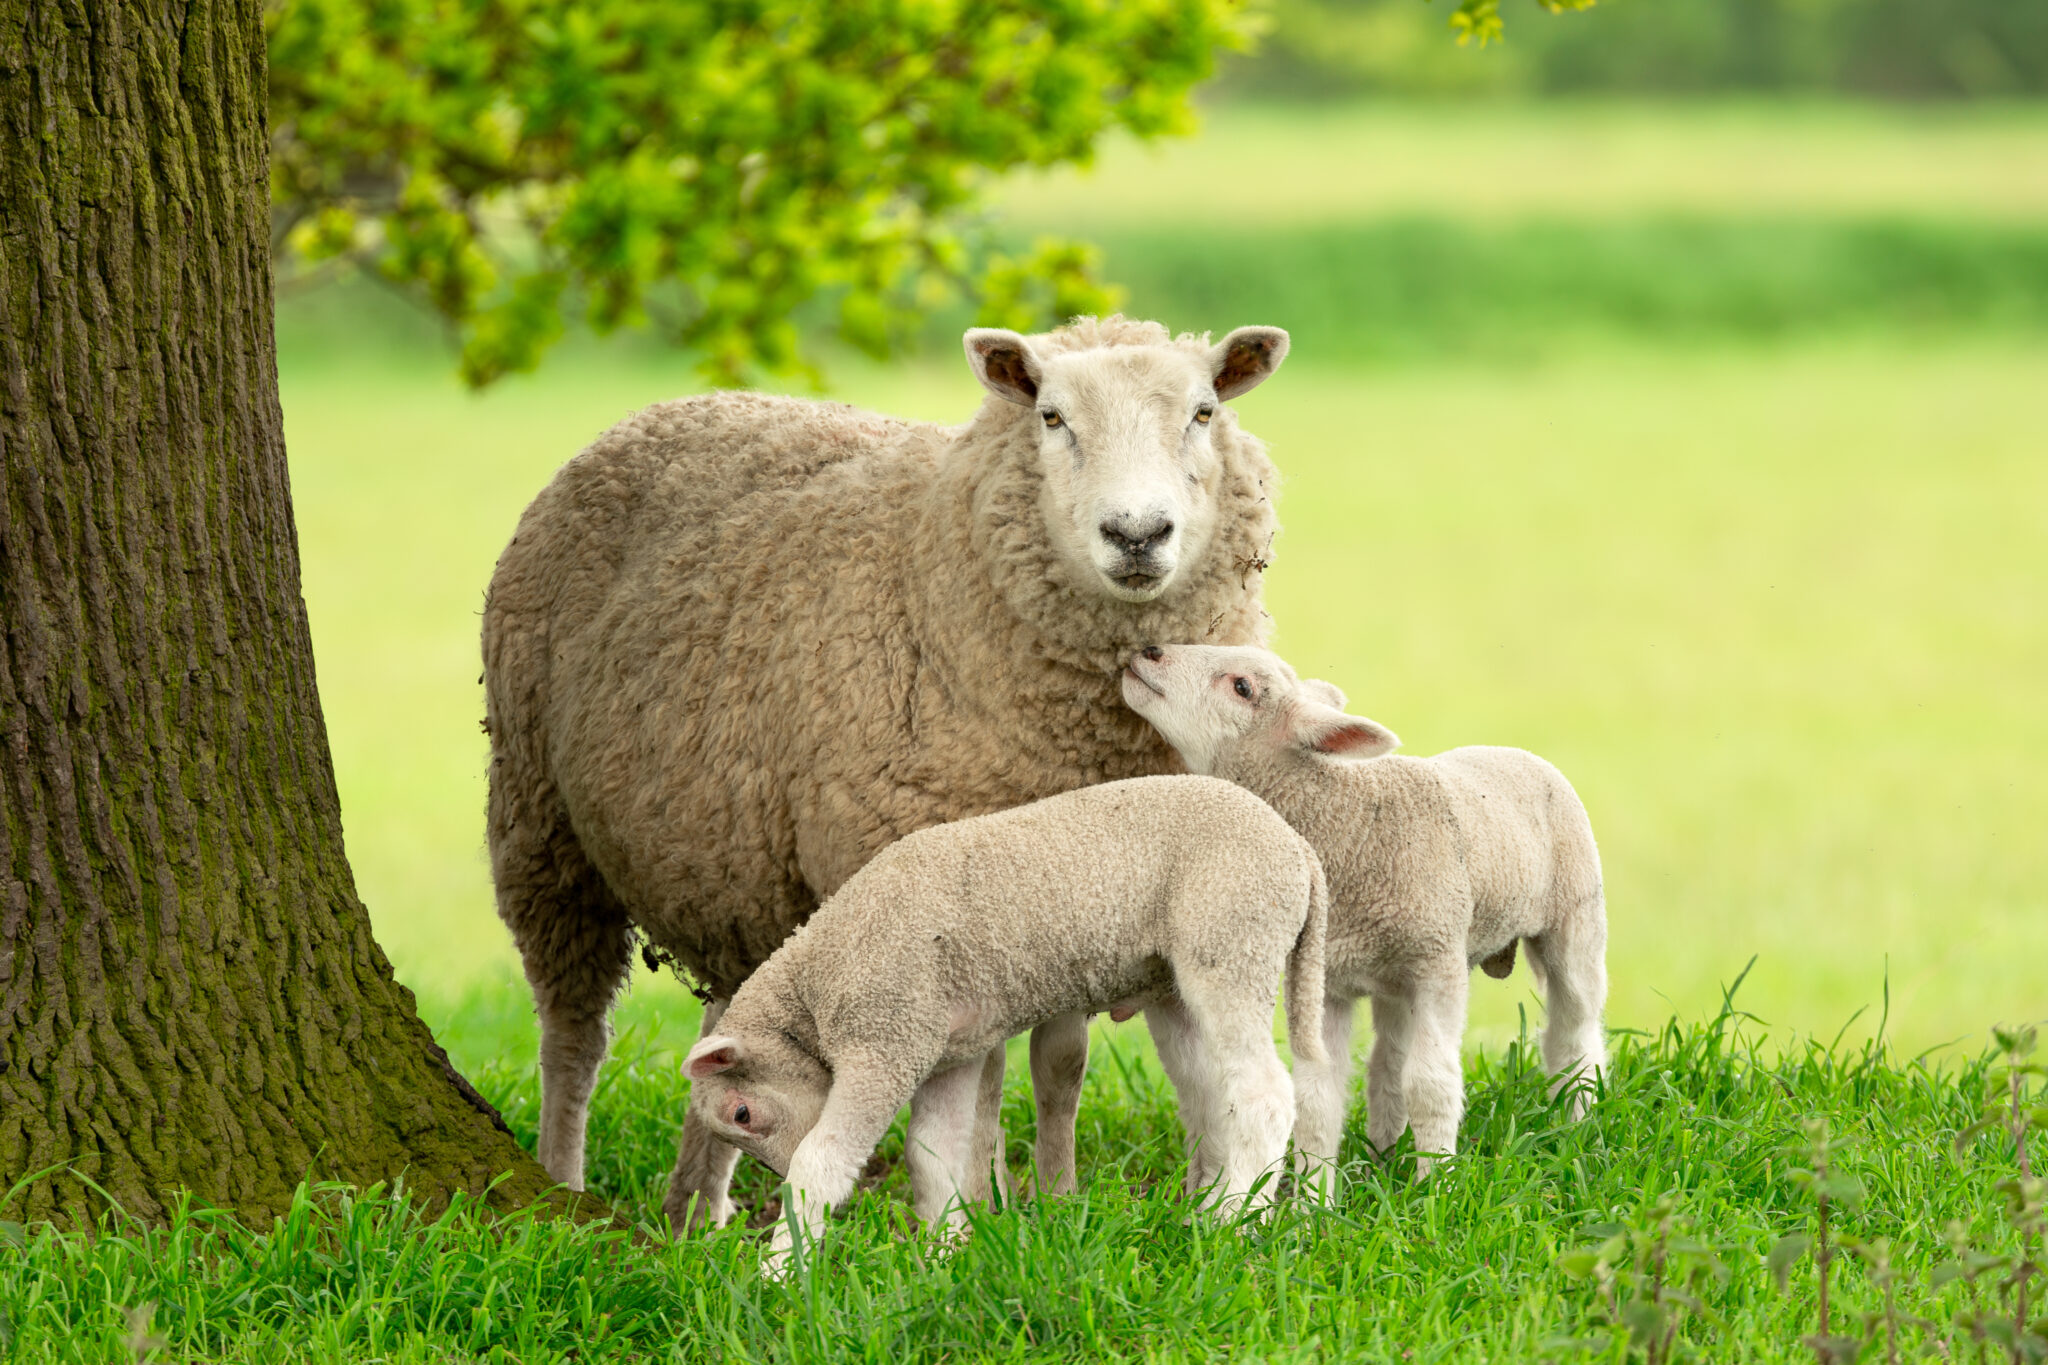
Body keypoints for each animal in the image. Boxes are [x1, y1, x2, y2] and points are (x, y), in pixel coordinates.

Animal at [481, 316, 1293, 1230]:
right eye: (1050, 416)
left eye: (1203, 411)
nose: (1137, 534)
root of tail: (666, 406)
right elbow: (983, 1080)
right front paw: (983, 1203)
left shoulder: (1075, 900)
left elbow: (1061, 1060)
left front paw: (1051, 1196)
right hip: (538, 824)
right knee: (574, 1031)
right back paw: (561, 1179)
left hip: (733, 868)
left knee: (722, 1023)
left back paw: (697, 1210)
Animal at [679, 774, 1338, 1272]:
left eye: (743, 1113)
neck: (817, 980)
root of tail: (1300, 851)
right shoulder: (947, 1050)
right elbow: (932, 1154)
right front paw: (942, 1258)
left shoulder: (885, 1039)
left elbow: (821, 1163)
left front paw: (779, 1273)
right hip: (1180, 984)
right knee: (1214, 1098)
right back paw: (1205, 1212)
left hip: (1232, 941)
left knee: (1263, 1094)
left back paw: (1234, 1226)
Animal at [1117, 644, 1608, 1182]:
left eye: (1242, 687)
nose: (1149, 650)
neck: (1348, 824)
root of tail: (1512, 750)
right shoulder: (1327, 981)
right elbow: (1319, 1100)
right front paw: (1315, 1198)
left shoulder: (1439, 964)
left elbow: (1431, 1083)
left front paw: (1437, 1184)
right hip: (1393, 976)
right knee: (1387, 1064)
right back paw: (1385, 1155)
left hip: (1574, 917)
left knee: (1573, 1030)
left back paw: (1579, 1124)